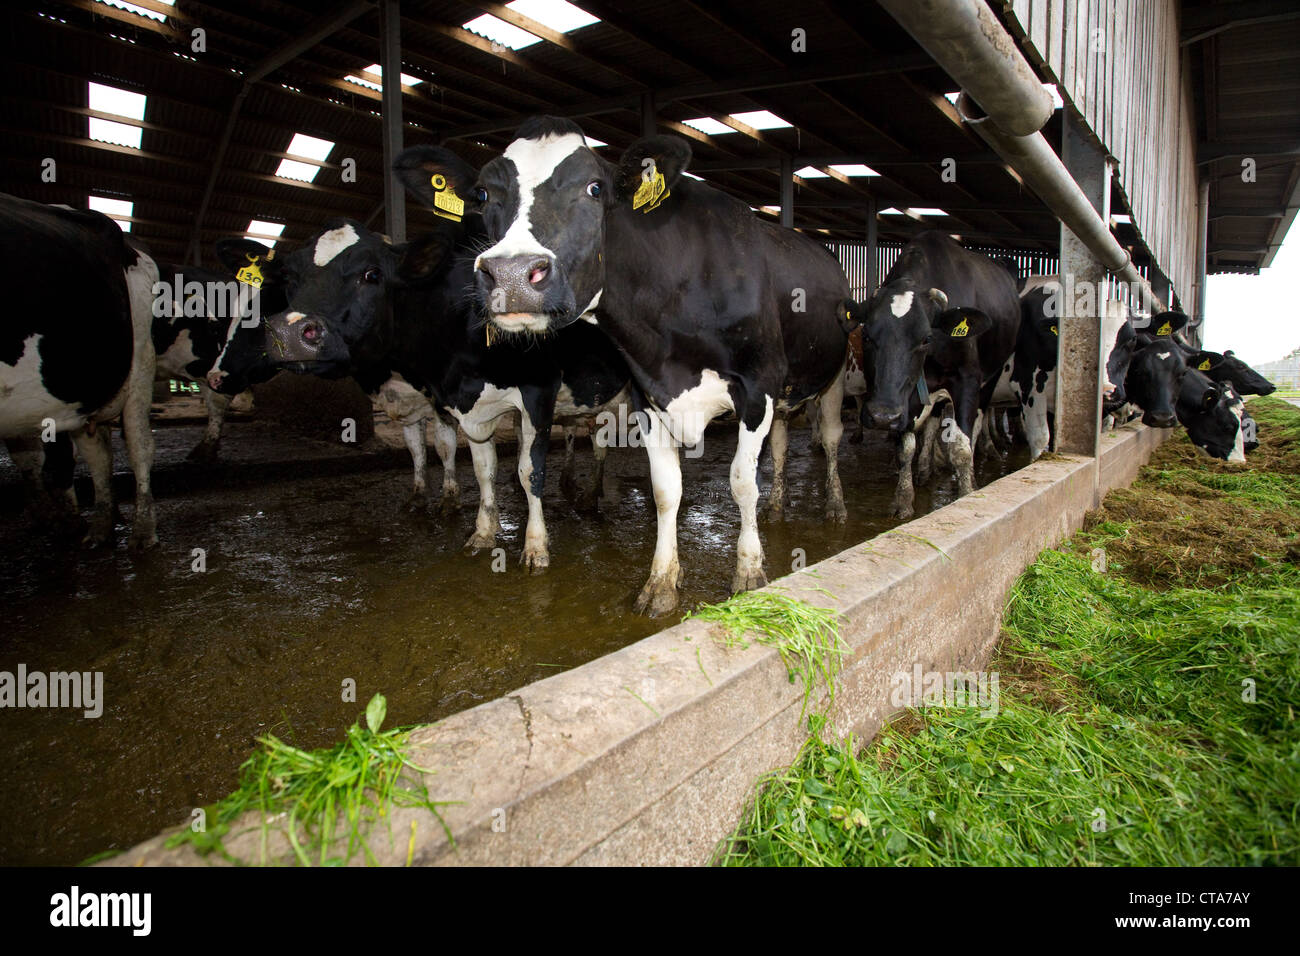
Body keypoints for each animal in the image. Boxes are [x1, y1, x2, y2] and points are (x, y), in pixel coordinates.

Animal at [0, 194, 158, 549]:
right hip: (83, 395)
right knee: (96, 453)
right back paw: (98, 528)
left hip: (138, 366)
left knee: (139, 445)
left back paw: (142, 532)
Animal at [208, 148, 630, 570]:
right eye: (291, 277)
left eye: (372, 273)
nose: (292, 334)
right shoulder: (449, 400)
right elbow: (473, 465)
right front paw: (479, 531)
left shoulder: (537, 393)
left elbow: (528, 469)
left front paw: (534, 546)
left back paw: (590, 496)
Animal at [462, 116, 852, 615]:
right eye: (483, 194)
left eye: (594, 187)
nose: (510, 276)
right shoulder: (648, 393)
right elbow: (667, 491)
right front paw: (661, 583)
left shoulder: (758, 385)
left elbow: (742, 481)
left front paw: (749, 573)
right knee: (782, 446)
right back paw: (778, 506)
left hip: (835, 375)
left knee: (831, 440)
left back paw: (835, 506)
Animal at [857, 231, 1020, 517]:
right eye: (866, 335)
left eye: (926, 338)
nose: (882, 417)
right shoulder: (904, 397)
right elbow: (906, 448)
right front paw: (904, 501)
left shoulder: (967, 379)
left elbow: (962, 447)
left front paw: (965, 492)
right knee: (933, 422)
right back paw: (924, 470)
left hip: (992, 376)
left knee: (978, 422)